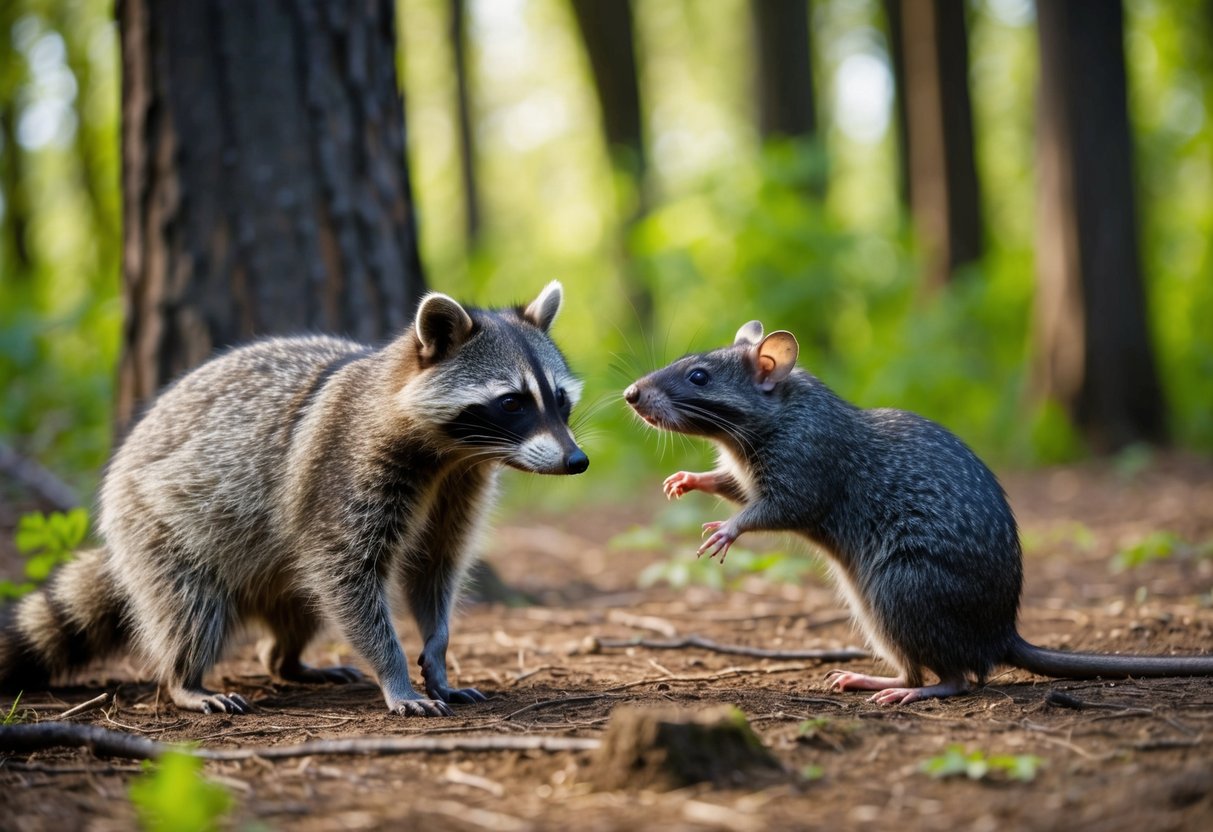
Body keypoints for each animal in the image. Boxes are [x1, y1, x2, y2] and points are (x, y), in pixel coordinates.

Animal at [0, 282, 587, 715]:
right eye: (512, 402)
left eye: (560, 400)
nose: (577, 460)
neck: (450, 453)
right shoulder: (346, 469)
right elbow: (347, 573)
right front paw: (395, 673)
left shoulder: (458, 488)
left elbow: (434, 568)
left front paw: (438, 653)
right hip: (157, 523)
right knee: (188, 607)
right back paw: (185, 678)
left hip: (272, 568)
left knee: (299, 612)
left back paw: (286, 659)